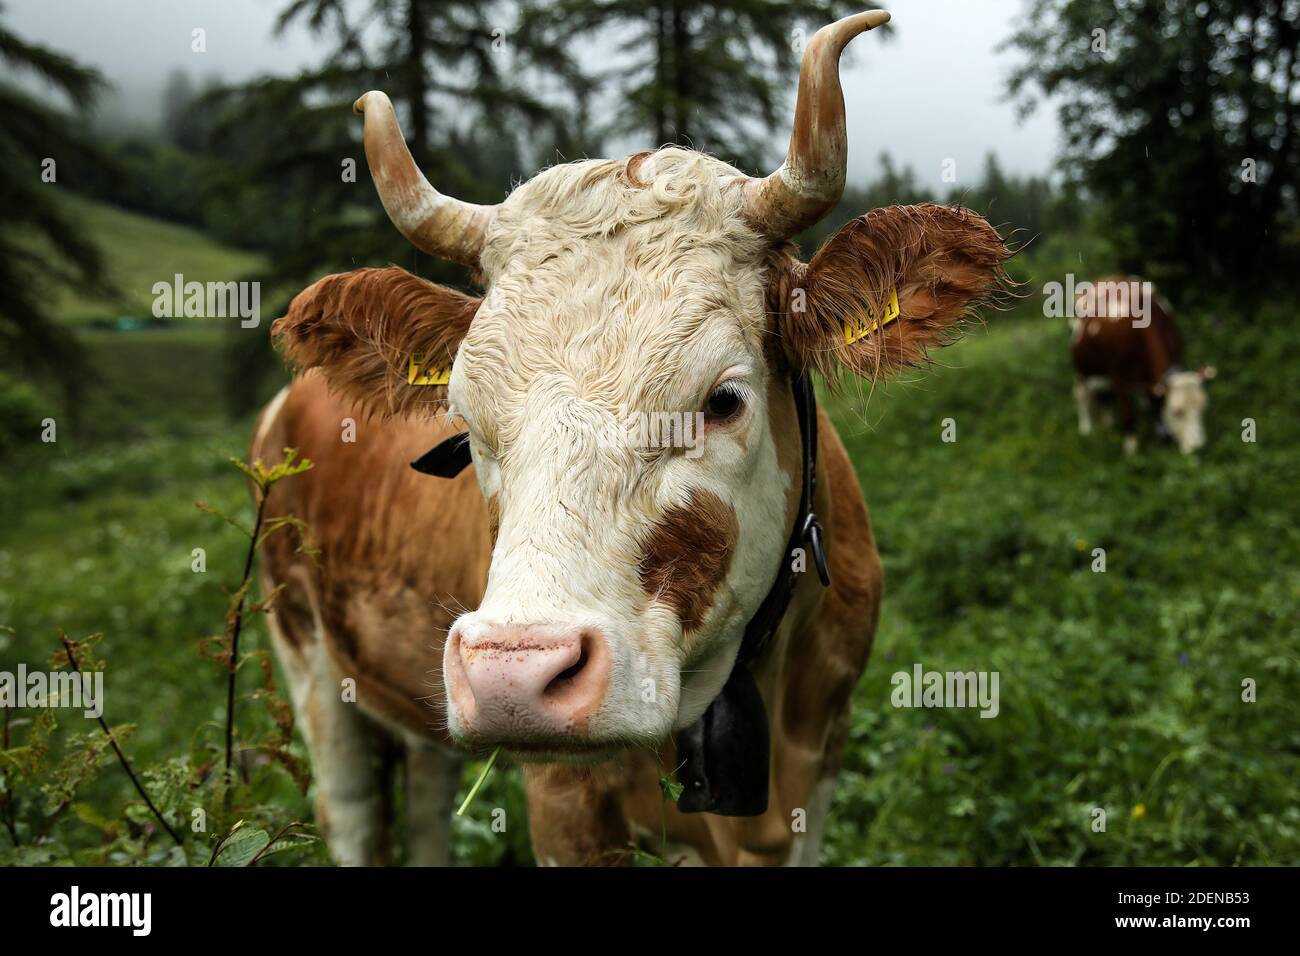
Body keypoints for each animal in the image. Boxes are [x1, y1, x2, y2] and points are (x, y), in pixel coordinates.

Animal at [251, 9, 1011, 866]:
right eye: (467, 421)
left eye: (722, 400)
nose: (513, 678)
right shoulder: (564, 799)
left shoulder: (819, 766)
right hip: (311, 659)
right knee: (348, 808)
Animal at [1069, 275, 1216, 455]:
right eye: (1177, 412)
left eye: (1203, 407)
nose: (1199, 448)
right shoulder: (1118, 378)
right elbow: (1129, 414)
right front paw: (1130, 451)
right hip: (1082, 368)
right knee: (1081, 394)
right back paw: (1086, 429)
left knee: (1104, 399)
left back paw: (1108, 426)